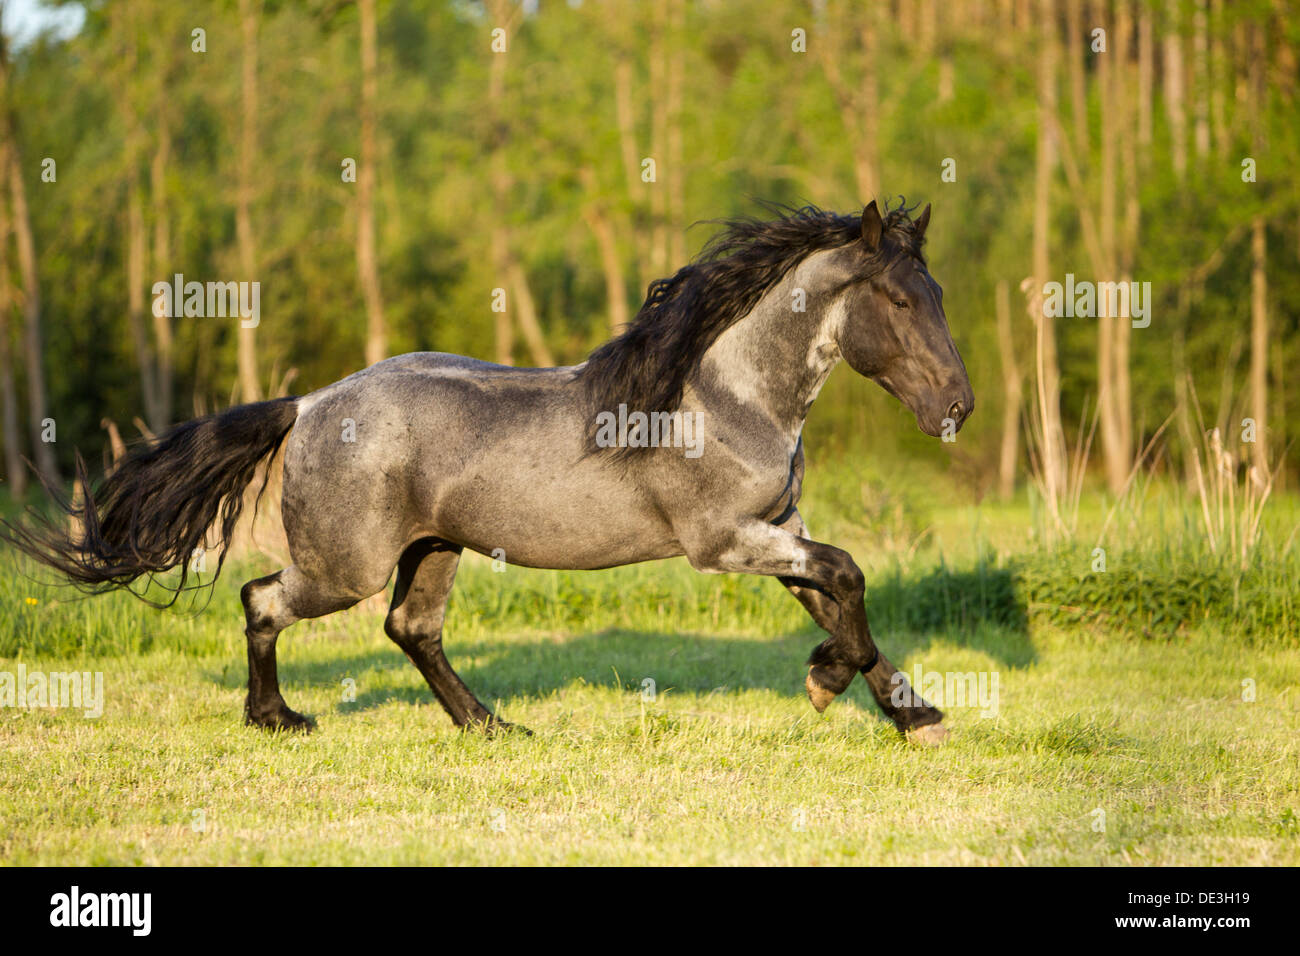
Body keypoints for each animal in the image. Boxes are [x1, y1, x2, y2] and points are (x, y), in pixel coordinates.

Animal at [3, 200, 973, 744]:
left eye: (938, 294)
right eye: (896, 299)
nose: (956, 407)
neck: (725, 395)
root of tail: (308, 405)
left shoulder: (779, 530)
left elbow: (841, 598)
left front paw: (910, 715)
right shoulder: (725, 541)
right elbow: (849, 579)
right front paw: (826, 684)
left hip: (433, 548)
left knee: (410, 627)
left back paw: (492, 725)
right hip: (344, 566)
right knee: (264, 600)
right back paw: (278, 720)